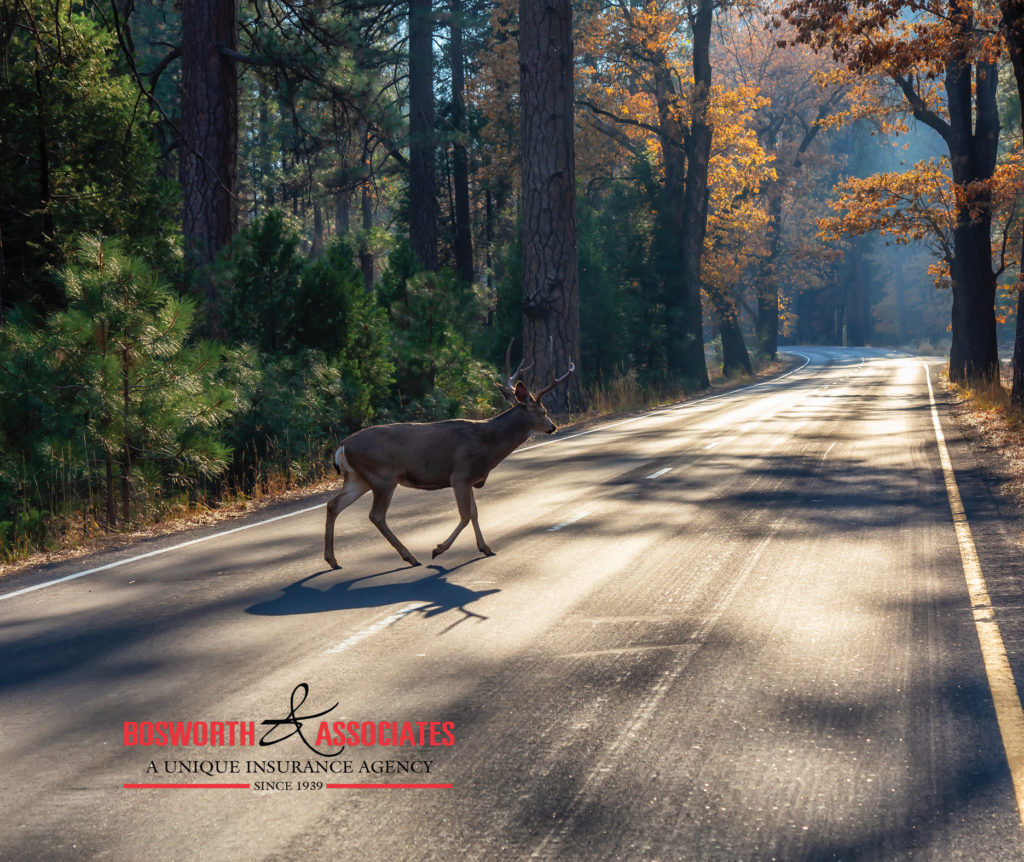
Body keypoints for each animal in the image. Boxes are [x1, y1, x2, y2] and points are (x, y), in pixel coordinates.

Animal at [323, 341, 574, 569]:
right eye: (543, 411)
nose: (553, 427)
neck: (488, 444)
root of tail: (342, 447)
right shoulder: (460, 474)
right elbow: (465, 515)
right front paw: (439, 549)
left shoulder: (470, 478)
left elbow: (474, 512)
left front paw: (485, 548)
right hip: (383, 477)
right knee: (376, 515)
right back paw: (410, 556)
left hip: (359, 478)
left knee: (333, 504)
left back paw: (333, 560)